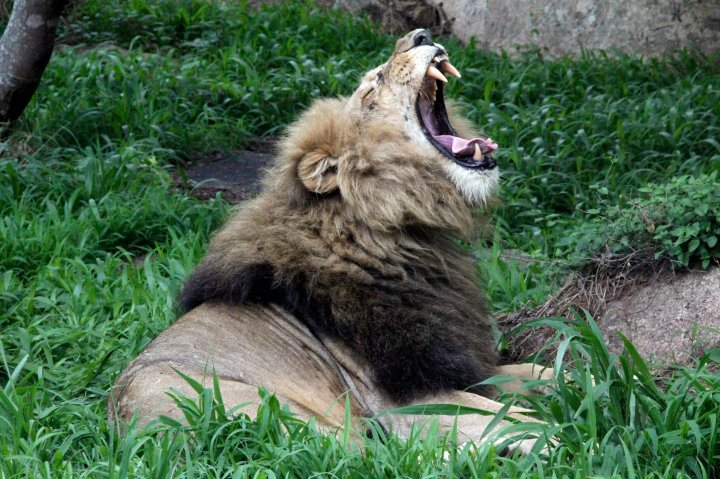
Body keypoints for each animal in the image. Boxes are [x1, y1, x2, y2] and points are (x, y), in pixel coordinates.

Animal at [110, 29, 551, 454]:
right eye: (372, 88)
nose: (421, 35)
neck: (406, 235)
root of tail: (128, 430)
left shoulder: (464, 366)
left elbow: (544, 372)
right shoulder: (406, 398)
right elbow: (517, 419)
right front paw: (561, 439)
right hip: (281, 418)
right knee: (370, 455)